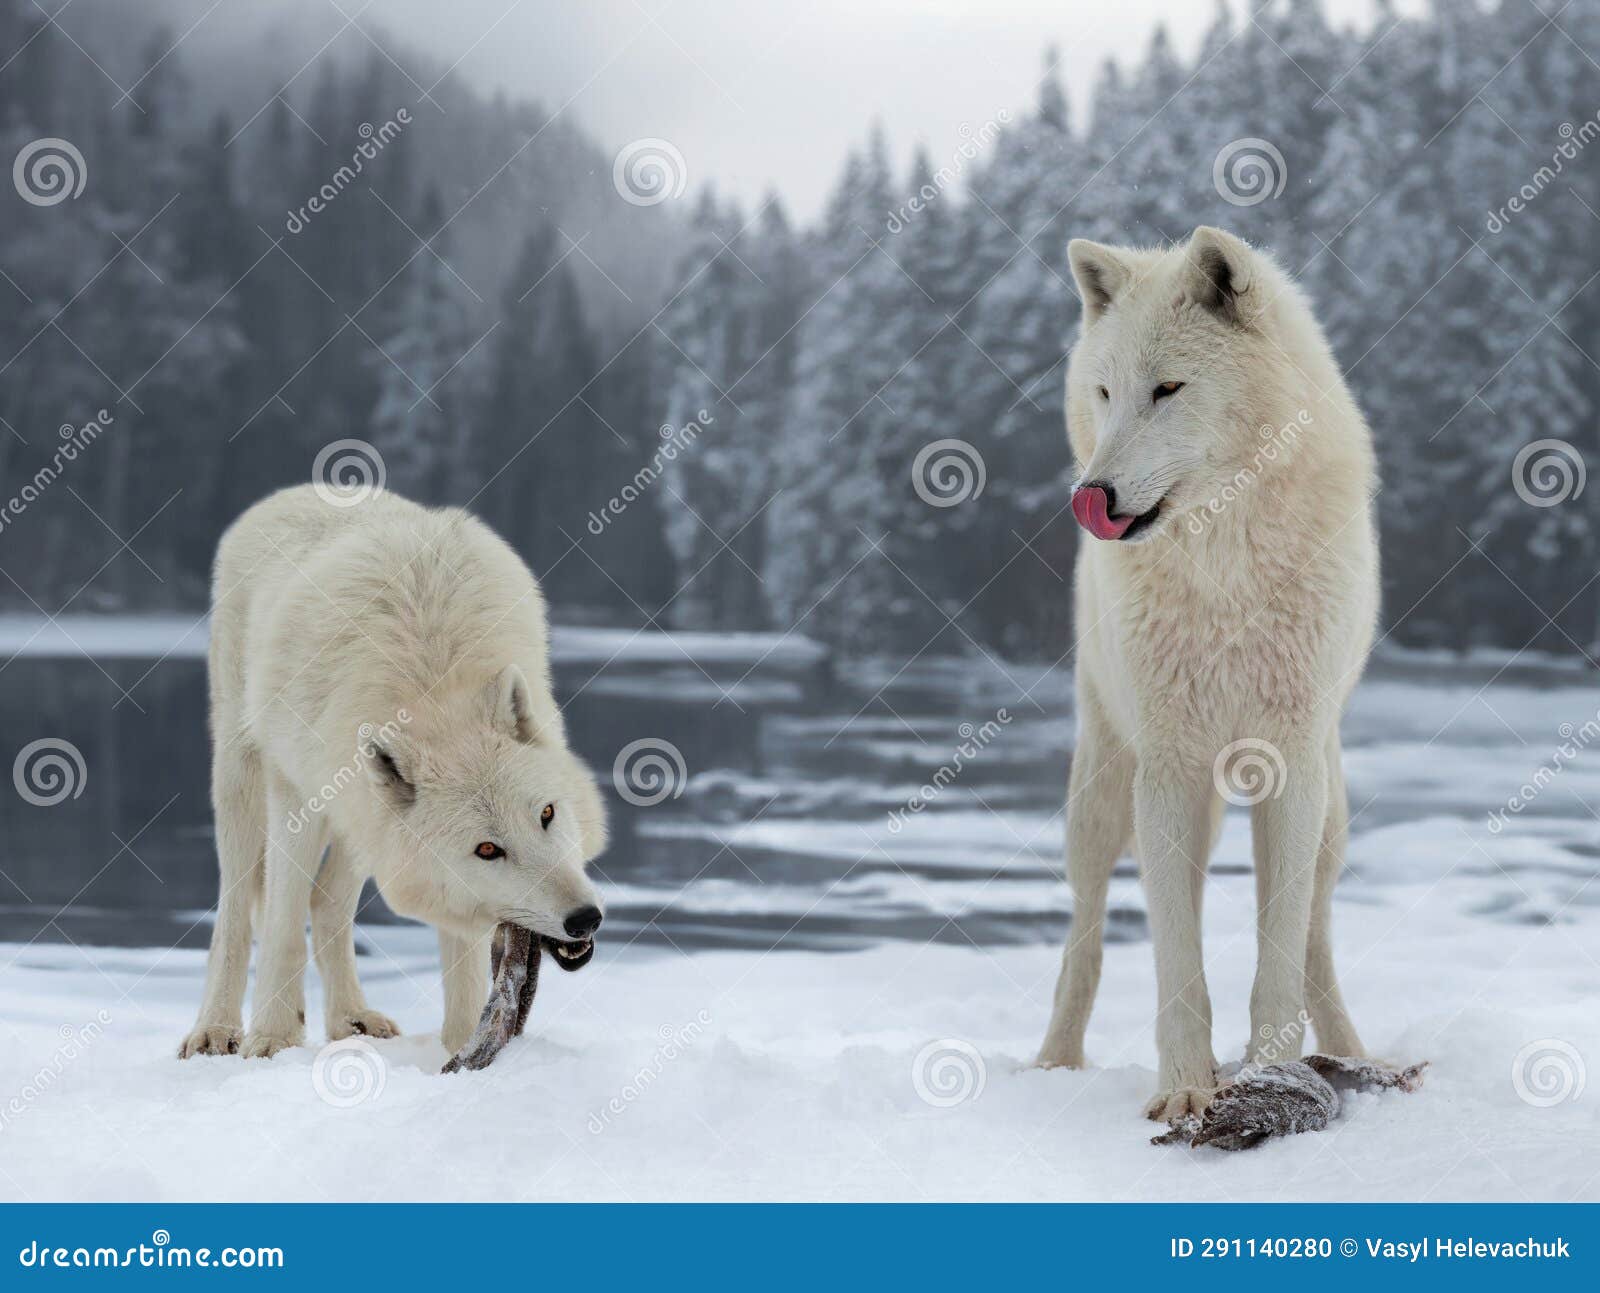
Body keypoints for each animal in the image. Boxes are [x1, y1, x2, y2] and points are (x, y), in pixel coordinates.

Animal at [180, 485, 608, 1060]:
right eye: (488, 849)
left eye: (547, 814)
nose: (584, 917)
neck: (432, 686)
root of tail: (295, 492)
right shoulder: (296, 795)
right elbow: (282, 928)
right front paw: (271, 1037)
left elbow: (463, 961)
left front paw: (461, 1045)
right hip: (244, 780)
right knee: (238, 911)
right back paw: (217, 1029)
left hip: (364, 821)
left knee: (326, 901)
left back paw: (350, 1019)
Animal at [1036, 226, 1379, 1121]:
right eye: (1105, 392)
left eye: (1168, 389)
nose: (1092, 494)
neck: (1225, 567)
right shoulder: (1169, 771)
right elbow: (1175, 955)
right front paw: (1188, 1089)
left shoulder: (1288, 767)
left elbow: (1280, 949)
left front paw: (1270, 1074)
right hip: (1102, 800)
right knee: (1085, 932)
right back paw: (1053, 1064)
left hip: (1329, 816)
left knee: (1316, 933)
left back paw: (1354, 1052)